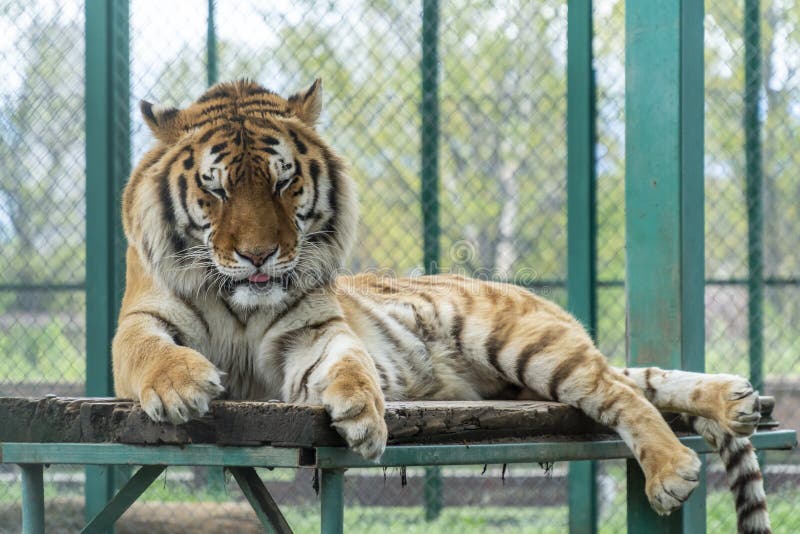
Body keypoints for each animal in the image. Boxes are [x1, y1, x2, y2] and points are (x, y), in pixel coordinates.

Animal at [113, 79, 771, 533]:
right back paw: (734, 402)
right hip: (531, 374)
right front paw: (180, 387)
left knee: (620, 391)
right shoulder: (141, 324)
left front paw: (364, 413)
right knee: (632, 378)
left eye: (283, 182)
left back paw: (674, 467)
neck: (241, 304)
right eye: (217, 189)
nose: (258, 255)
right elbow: (148, 351)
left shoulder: (315, 331)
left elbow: (349, 362)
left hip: (527, 345)